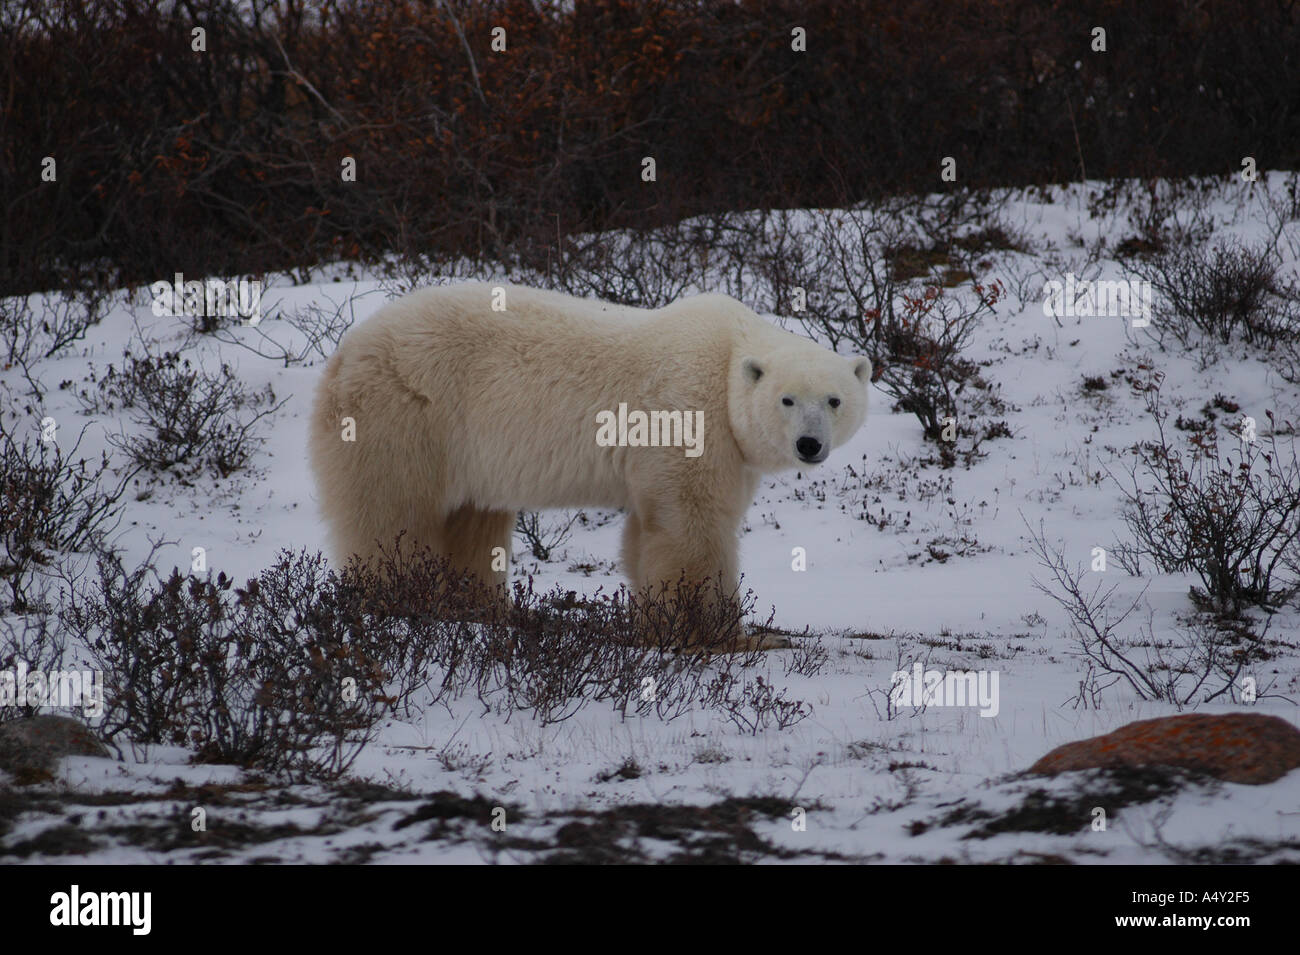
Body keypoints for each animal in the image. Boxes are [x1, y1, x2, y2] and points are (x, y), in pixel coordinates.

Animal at [308, 283, 870, 650]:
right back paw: (402, 603)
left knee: (471, 519)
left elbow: (649, 531)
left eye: (835, 400)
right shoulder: (687, 411)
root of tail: (344, 352)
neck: (727, 354)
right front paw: (731, 637)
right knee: (395, 514)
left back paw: (477, 611)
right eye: (787, 399)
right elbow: (693, 525)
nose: (809, 445)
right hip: (410, 413)